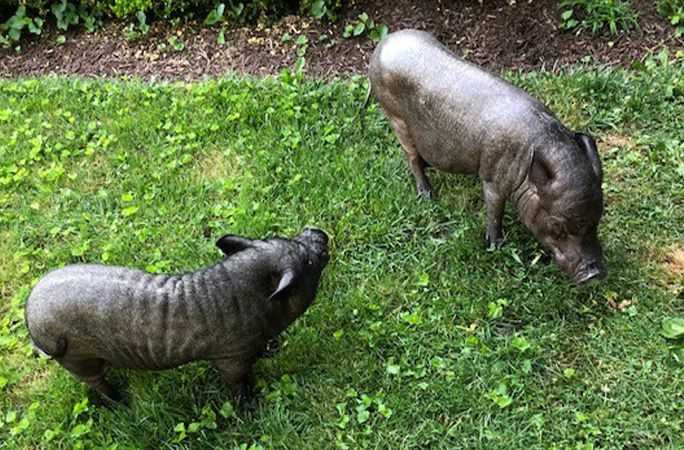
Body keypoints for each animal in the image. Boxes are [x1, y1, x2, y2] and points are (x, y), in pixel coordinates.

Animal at [25, 228, 329, 402]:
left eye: (290, 239)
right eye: (308, 262)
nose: (317, 231)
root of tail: (30, 314)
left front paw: (272, 350)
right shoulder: (231, 356)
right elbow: (237, 384)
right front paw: (250, 408)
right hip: (76, 360)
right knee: (98, 382)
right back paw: (122, 402)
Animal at [367, 29, 605, 284]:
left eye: (597, 218)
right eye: (557, 226)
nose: (594, 274)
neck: (527, 160)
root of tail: (382, 45)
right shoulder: (493, 177)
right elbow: (494, 209)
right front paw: (495, 245)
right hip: (396, 118)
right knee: (412, 159)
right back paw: (428, 195)